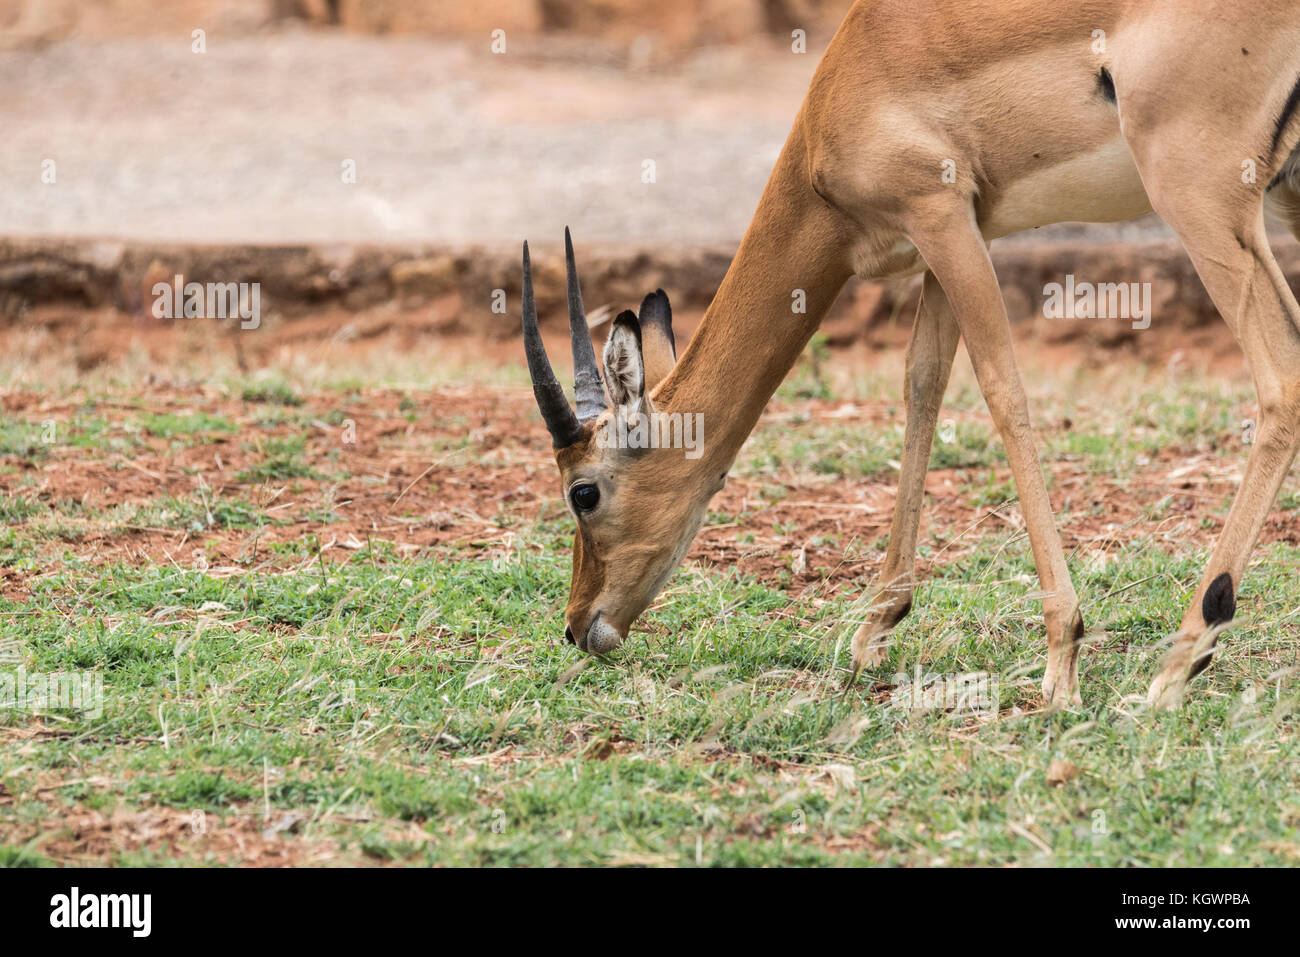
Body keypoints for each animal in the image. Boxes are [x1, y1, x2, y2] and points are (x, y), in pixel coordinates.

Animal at [520, 0, 1300, 709]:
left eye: (583, 491)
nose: (578, 625)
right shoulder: (955, 235)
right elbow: (922, 384)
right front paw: (877, 628)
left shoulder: (941, 214)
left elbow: (1001, 390)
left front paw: (1062, 659)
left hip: (1198, 195)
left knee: (1281, 378)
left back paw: (1178, 665)